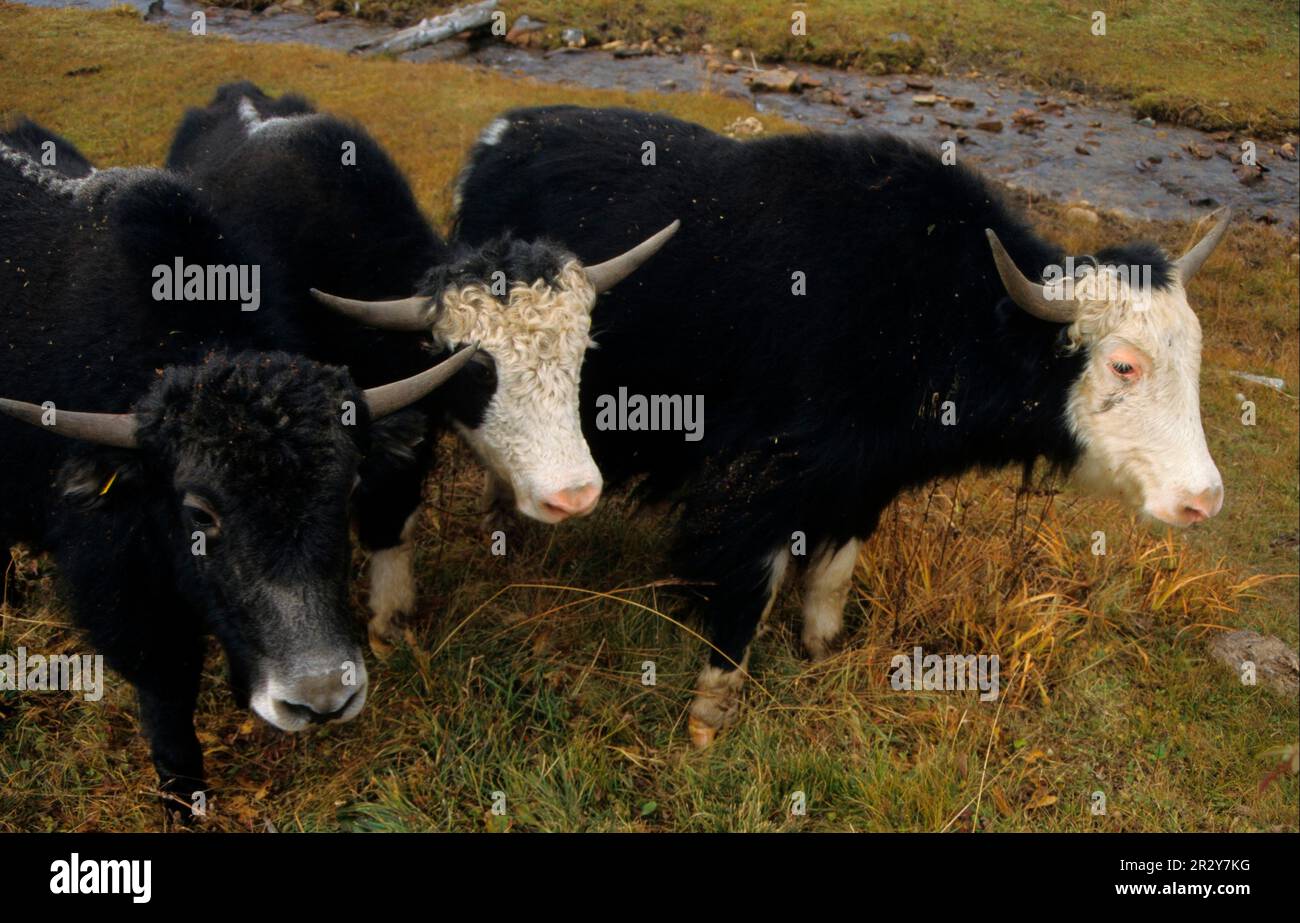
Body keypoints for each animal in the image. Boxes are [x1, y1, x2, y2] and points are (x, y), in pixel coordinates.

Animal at [0, 121, 472, 806]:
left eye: (346, 489)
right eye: (199, 513)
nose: (321, 701)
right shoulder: (116, 570)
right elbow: (166, 681)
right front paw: (183, 794)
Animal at [165, 83, 677, 653]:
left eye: (582, 351)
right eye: (477, 370)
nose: (574, 496)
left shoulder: (410, 429)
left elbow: (395, 510)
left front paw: (390, 620)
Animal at [451, 106, 1232, 747]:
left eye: (1194, 351)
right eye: (1124, 365)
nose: (1203, 500)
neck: (933, 309)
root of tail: (495, 138)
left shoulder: (864, 476)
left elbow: (831, 577)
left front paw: (819, 656)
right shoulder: (761, 476)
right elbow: (748, 591)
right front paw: (707, 725)